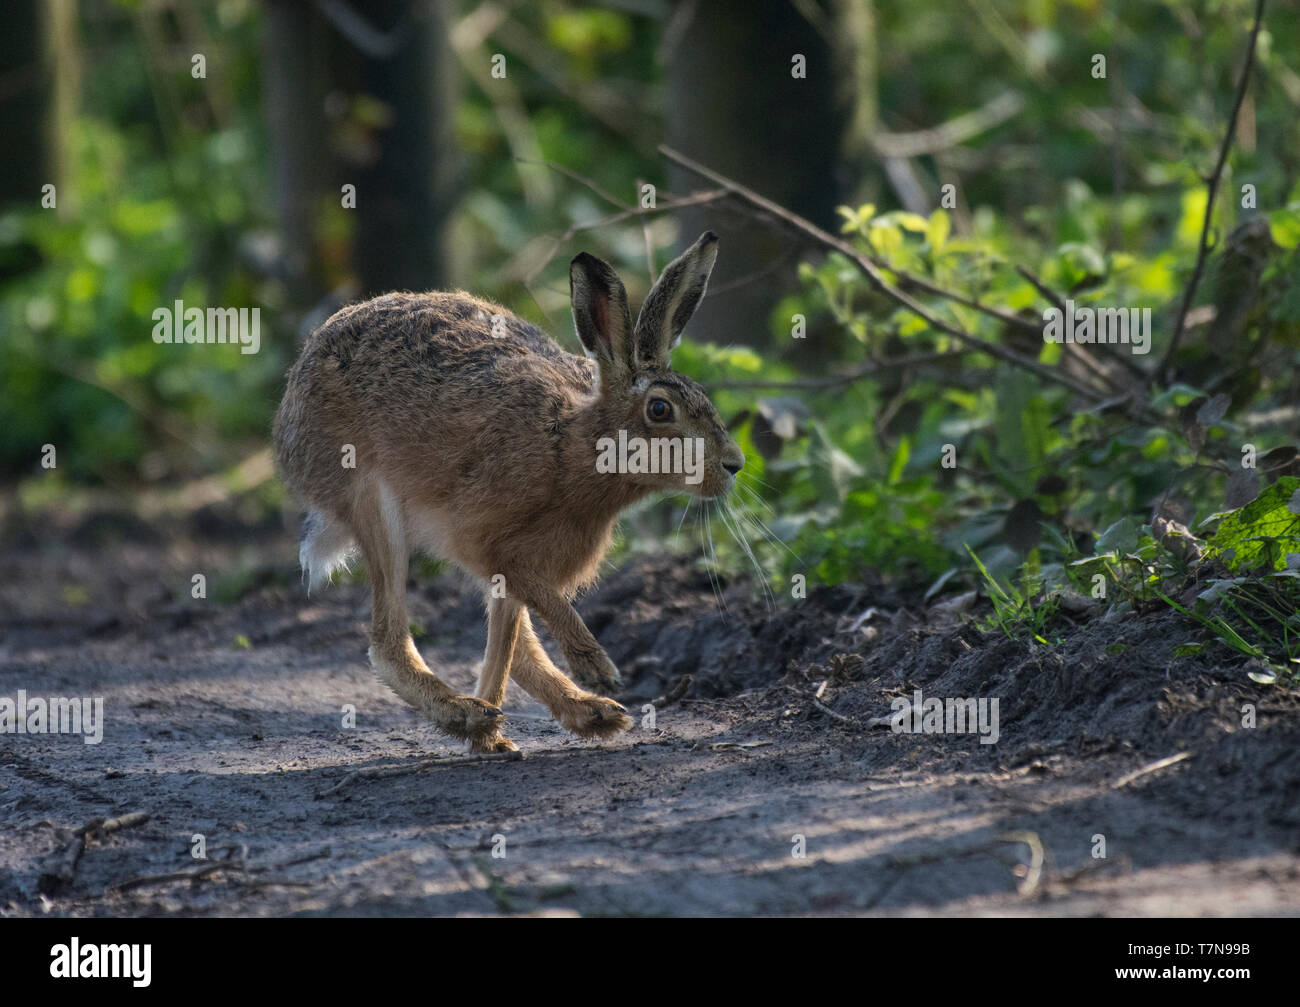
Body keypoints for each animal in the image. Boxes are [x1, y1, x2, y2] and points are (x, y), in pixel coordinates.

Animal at [272, 232, 745, 752]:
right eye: (660, 410)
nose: (733, 465)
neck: (569, 443)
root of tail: (291, 399)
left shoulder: (516, 560)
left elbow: (509, 633)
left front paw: (494, 734)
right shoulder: (486, 543)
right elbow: (534, 602)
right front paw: (594, 667)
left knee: (507, 642)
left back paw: (583, 713)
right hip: (370, 498)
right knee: (387, 641)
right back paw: (470, 712)